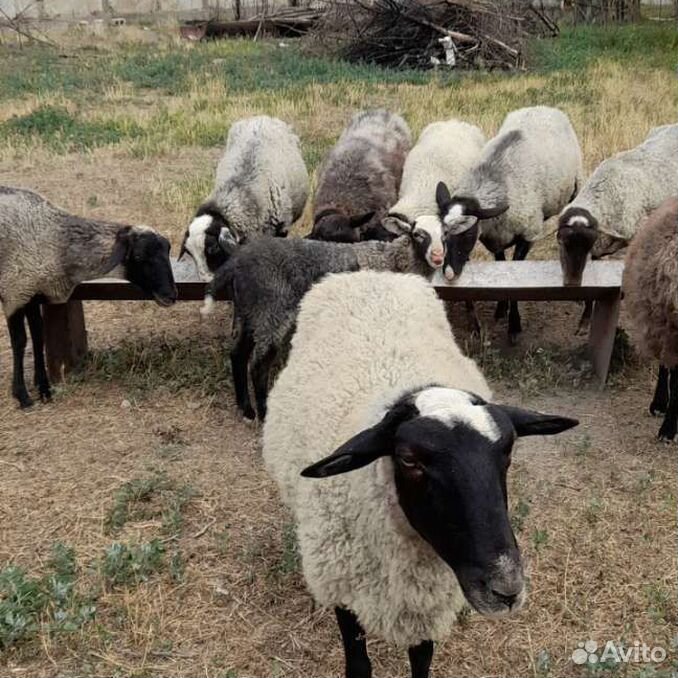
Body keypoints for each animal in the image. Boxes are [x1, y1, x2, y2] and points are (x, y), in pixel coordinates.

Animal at [0, 186, 177, 409]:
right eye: (138, 256)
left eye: (168, 253)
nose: (171, 295)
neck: (54, 240)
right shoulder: (14, 292)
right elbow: (19, 342)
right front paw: (22, 395)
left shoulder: (32, 292)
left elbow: (38, 338)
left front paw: (44, 388)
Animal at [202, 235, 430, 421]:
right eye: (419, 235)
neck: (388, 260)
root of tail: (237, 260)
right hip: (272, 311)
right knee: (258, 364)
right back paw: (263, 413)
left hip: (249, 312)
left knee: (237, 354)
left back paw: (246, 409)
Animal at [262, 270, 578, 678]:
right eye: (409, 460)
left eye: (507, 450)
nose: (506, 589)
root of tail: (366, 272)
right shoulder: (342, 589)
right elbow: (359, 665)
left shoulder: (429, 604)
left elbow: (422, 662)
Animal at [436, 106, 584, 342]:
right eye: (440, 233)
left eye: (468, 235)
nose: (449, 273)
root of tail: (541, 107)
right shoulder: (494, 241)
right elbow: (502, 268)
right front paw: (500, 308)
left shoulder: (528, 235)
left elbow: (516, 277)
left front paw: (514, 326)